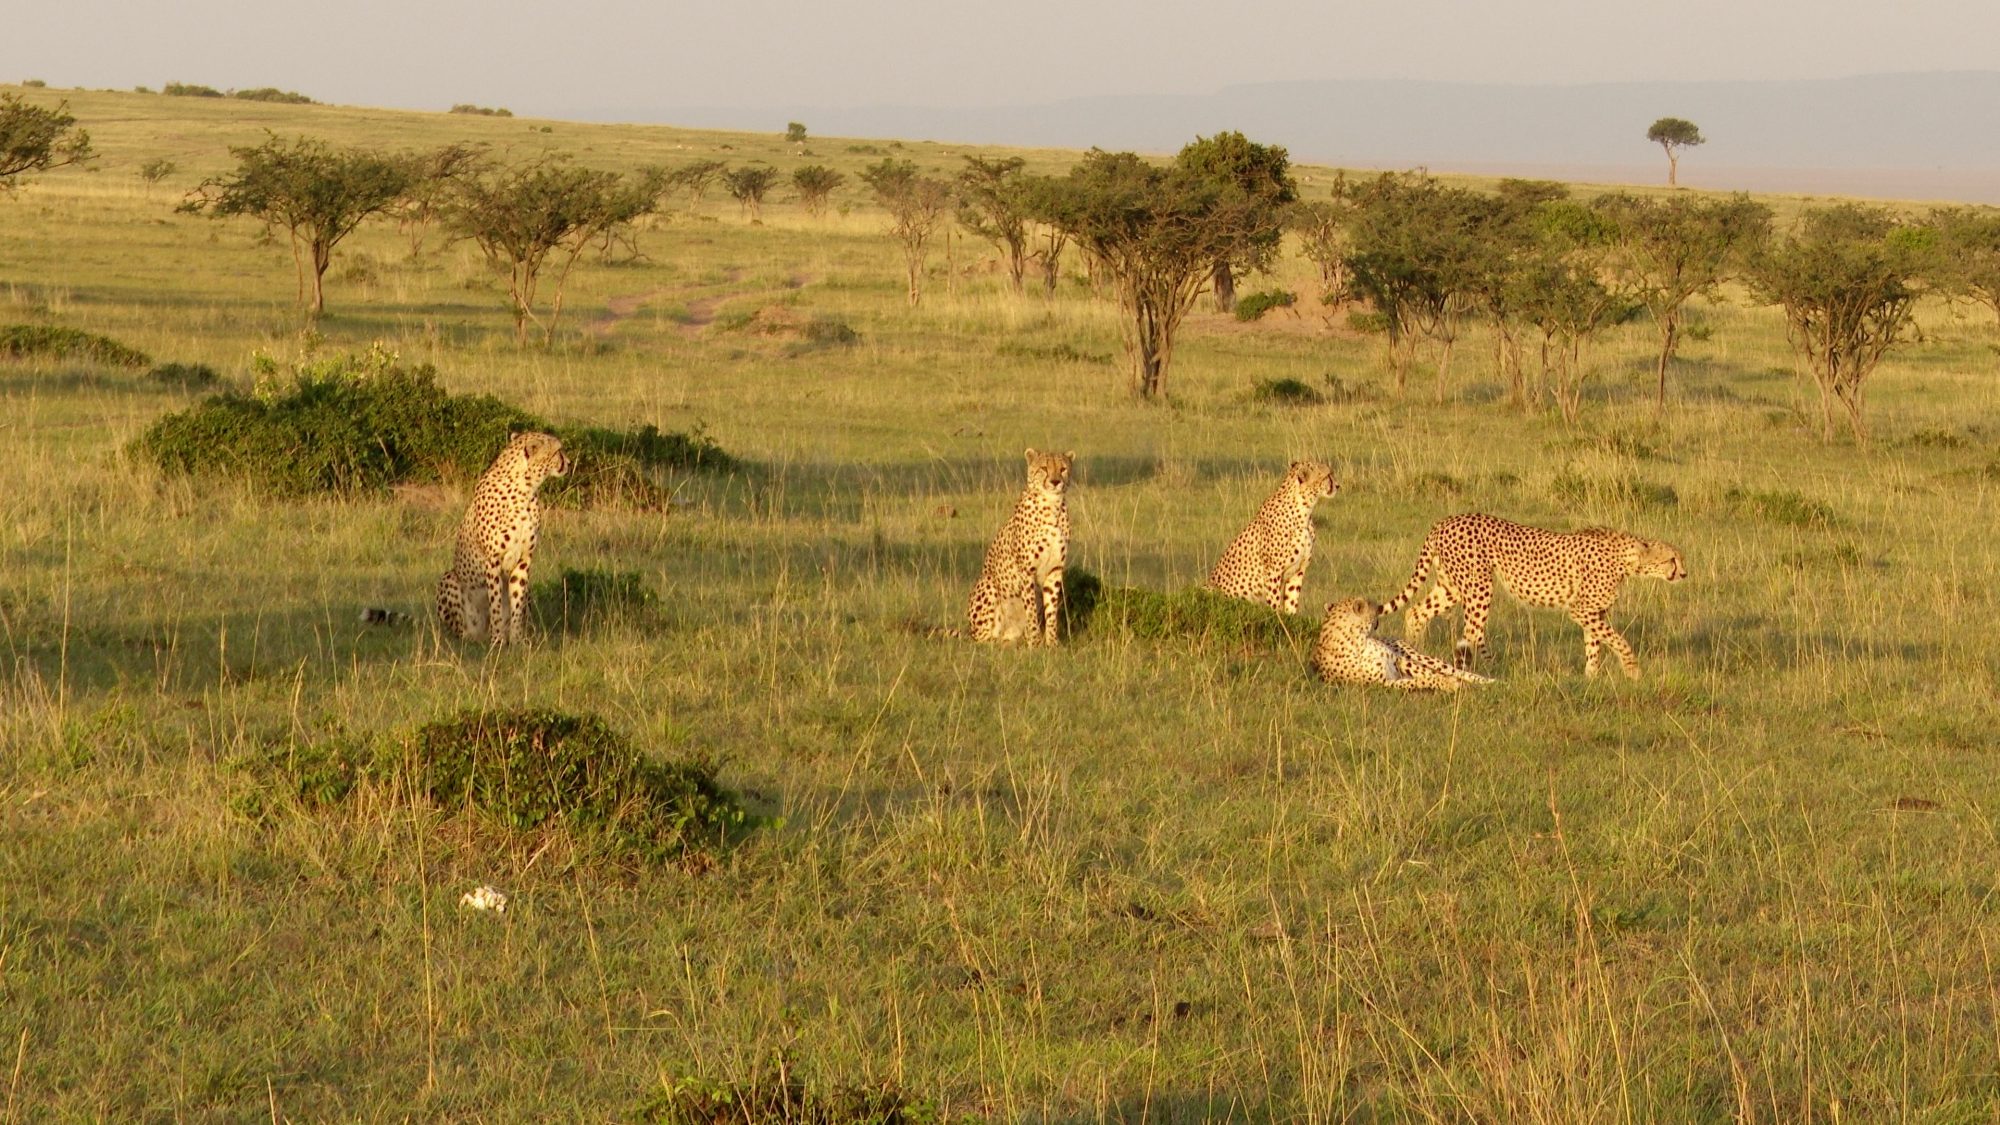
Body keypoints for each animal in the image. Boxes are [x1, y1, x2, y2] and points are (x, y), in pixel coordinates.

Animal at [436, 431, 573, 646]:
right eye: (558, 450)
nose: (569, 462)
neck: (525, 489)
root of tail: (479, 634)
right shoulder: (493, 561)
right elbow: (496, 603)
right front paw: (498, 640)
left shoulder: (524, 561)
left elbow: (516, 601)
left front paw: (516, 640)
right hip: (450, 578)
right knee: (460, 631)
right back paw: (472, 638)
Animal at [966, 449, 1073, 645]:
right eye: (1044, 468)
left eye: (1063, 469)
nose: (1055, 482)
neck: (1052, 505)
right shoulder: (1026, 570)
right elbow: (1030, 609)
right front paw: (1035, 642)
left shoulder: (1054, 570)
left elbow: (1051, 610)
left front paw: (1052, 643)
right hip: (989, 583)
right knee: (982, 638)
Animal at [1205, 460, 1339, 614]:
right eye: (1328, 475)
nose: (1337, 486)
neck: (1304, 510)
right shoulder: (1273, 571)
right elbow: (1274, 602)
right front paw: (1276, 615)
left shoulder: (1298, 571)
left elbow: (1291, 601)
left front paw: (1290, 616)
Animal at [1311, 596, 1493, 691]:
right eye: (1375, 609)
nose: (1378, 621)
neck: (1358, 640)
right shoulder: (1383, 682)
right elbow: (1421, 681)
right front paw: (1447, 683)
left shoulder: (1399, 660)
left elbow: (1429, 674)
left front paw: (1450, 681)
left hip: (1418, 656)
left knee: (1455, 670)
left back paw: (1489, 681)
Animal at [1379, 512, 1687, 678]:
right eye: (1672, 559)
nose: (1684, 574)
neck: (1627, 558)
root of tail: (1443, 521)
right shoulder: (1581, 609)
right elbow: (1617, 641)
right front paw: (1632, 669)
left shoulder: (1593, 612)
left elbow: (1595, 644)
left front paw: (1591, 677)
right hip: (1479, 586)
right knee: (1472, 632)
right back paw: (1484, 669)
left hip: (1452, 586)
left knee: (1416, 612)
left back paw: (1416, 651)